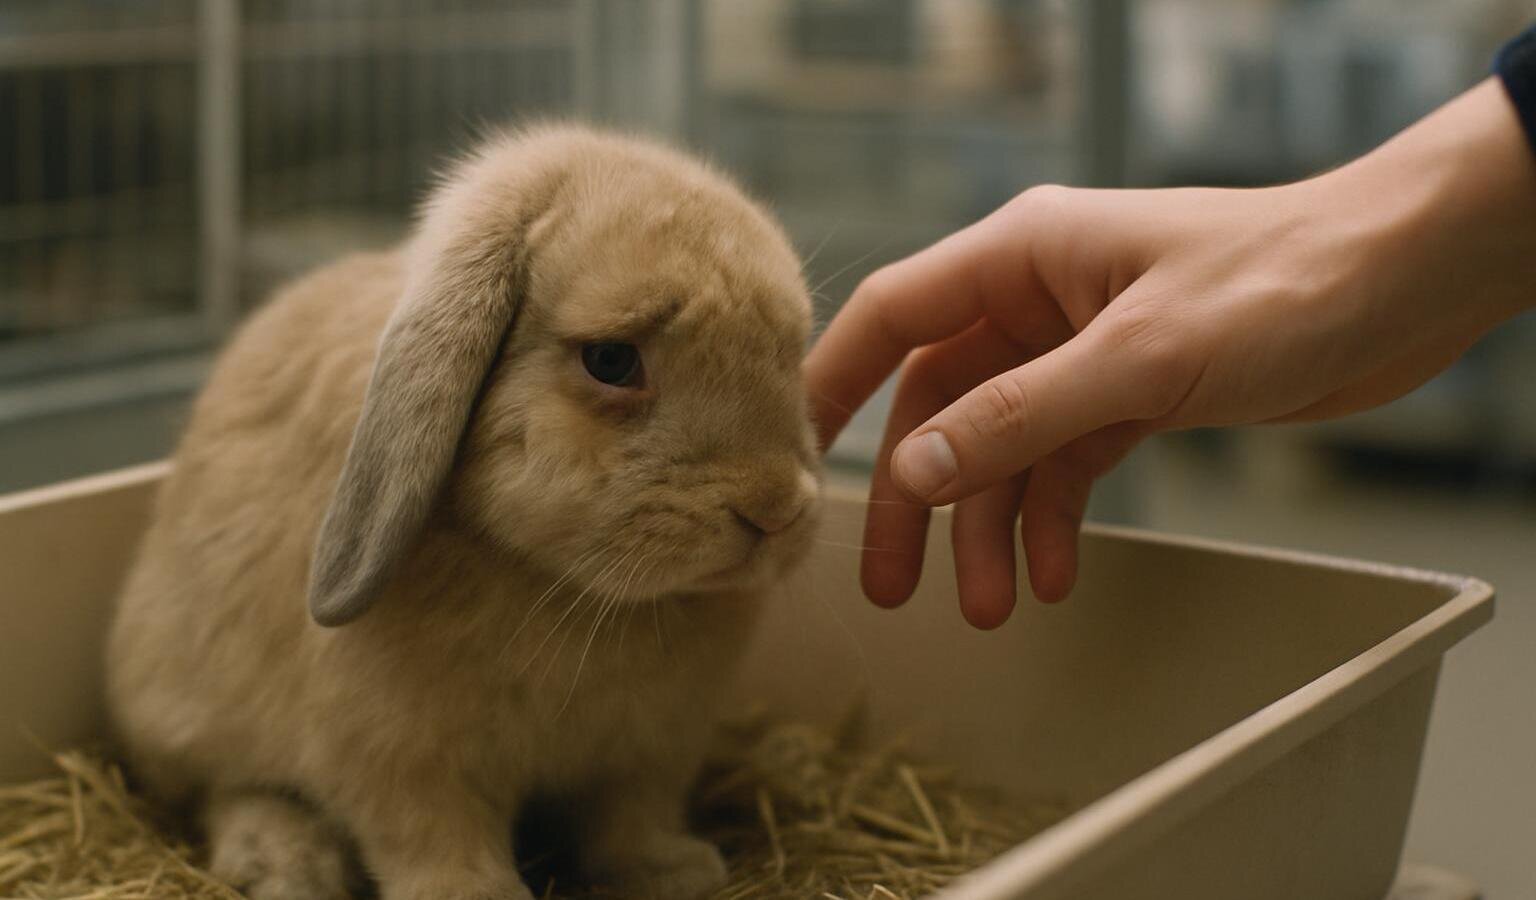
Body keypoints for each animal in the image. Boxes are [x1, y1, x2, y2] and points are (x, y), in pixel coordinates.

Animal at [105, 124, 822, 900]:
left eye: (791, 357)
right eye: (609, 360)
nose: (774, 511)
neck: (570, 589)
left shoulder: (647, 754)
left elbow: (630, 821)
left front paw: (677, 871)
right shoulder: (403, 759)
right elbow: (436, 842)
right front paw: (480, 895)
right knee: (225, 787)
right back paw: (289, 864)